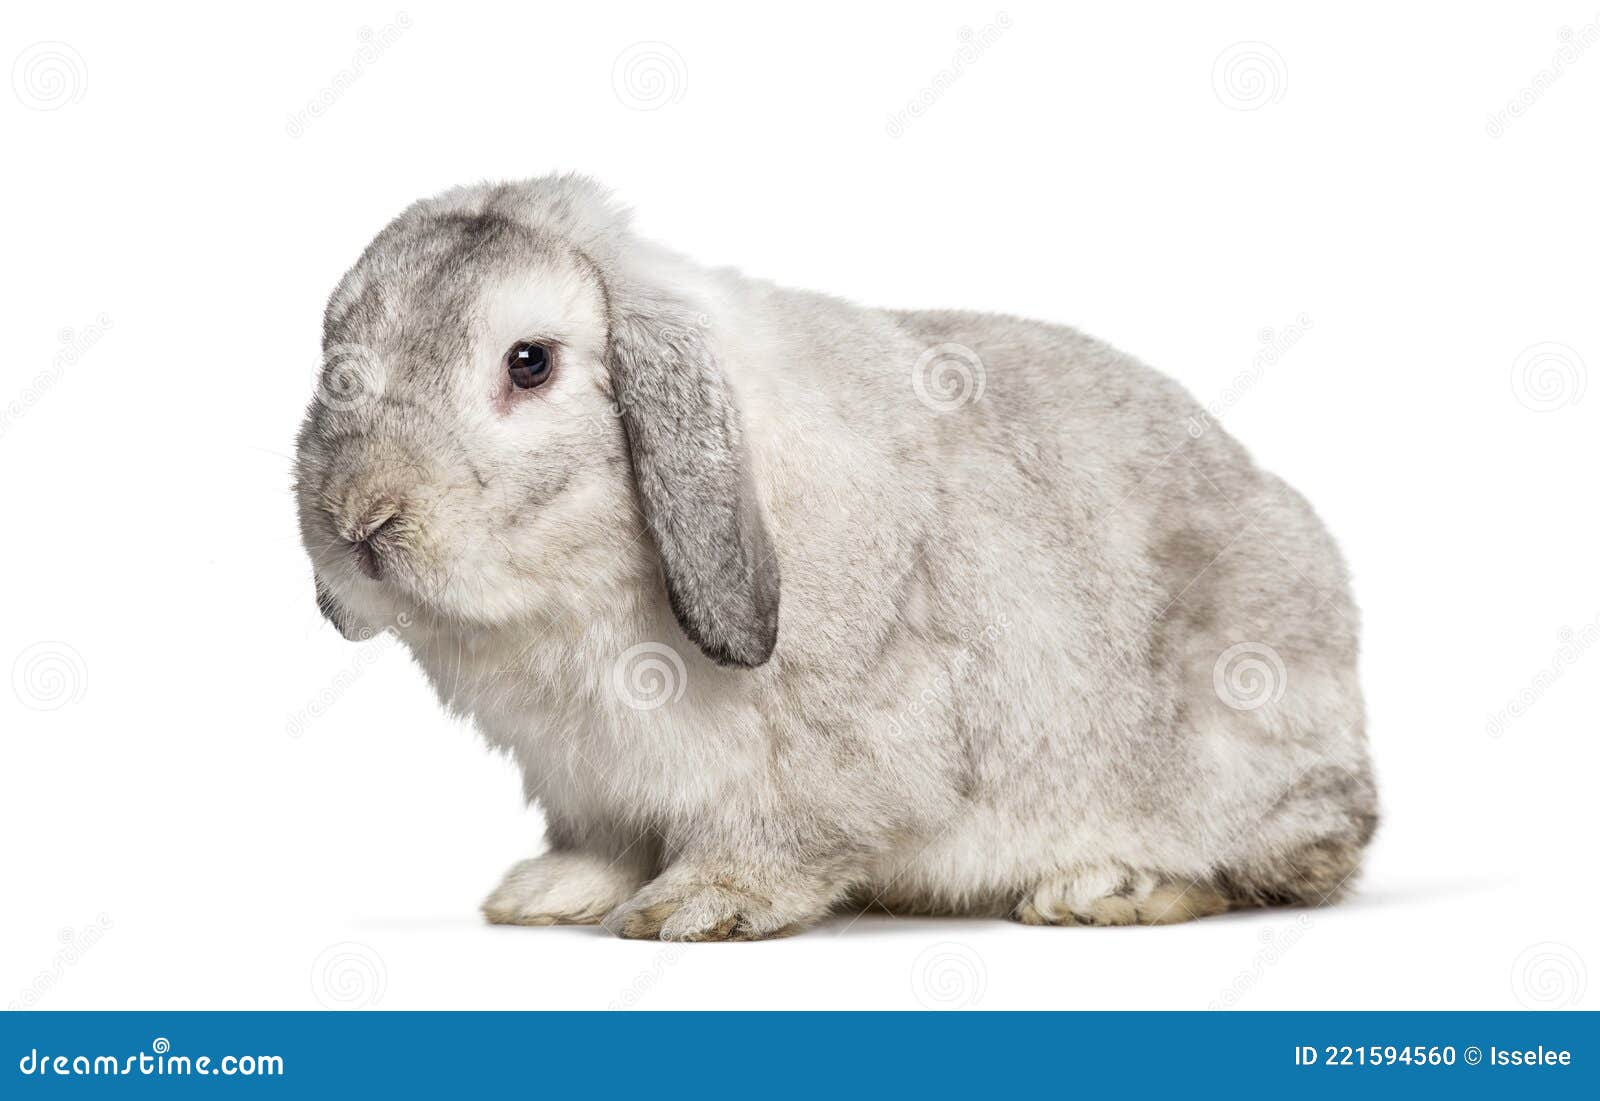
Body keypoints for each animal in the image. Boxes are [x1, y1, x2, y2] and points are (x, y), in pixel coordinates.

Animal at [294, 174, 1378, 940]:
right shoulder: (589, 785)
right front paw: (547, 892)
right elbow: (602, 842)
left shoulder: (844, 750)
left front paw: (698, 906)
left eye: (530, 363)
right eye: (337, 365)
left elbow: (784, 836)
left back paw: (1108, 886)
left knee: (1291, 866)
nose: (360, 519)